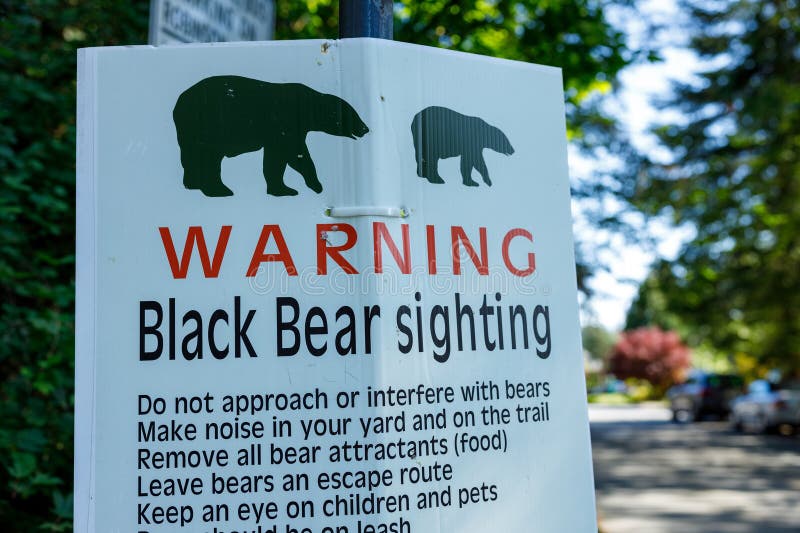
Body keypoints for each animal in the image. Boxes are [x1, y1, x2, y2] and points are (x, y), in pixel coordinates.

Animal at [172, 76, 370, 197]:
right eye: (354, 115)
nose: (366, 128)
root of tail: (179, 101)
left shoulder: (280, 132)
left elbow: (276, 159)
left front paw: (285, 189)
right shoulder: (286, 123)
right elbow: (294, 154)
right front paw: (315, 185)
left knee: (191, 157)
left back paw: (193, 184)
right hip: (209, 124)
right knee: (209, 157)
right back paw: (219, 190)